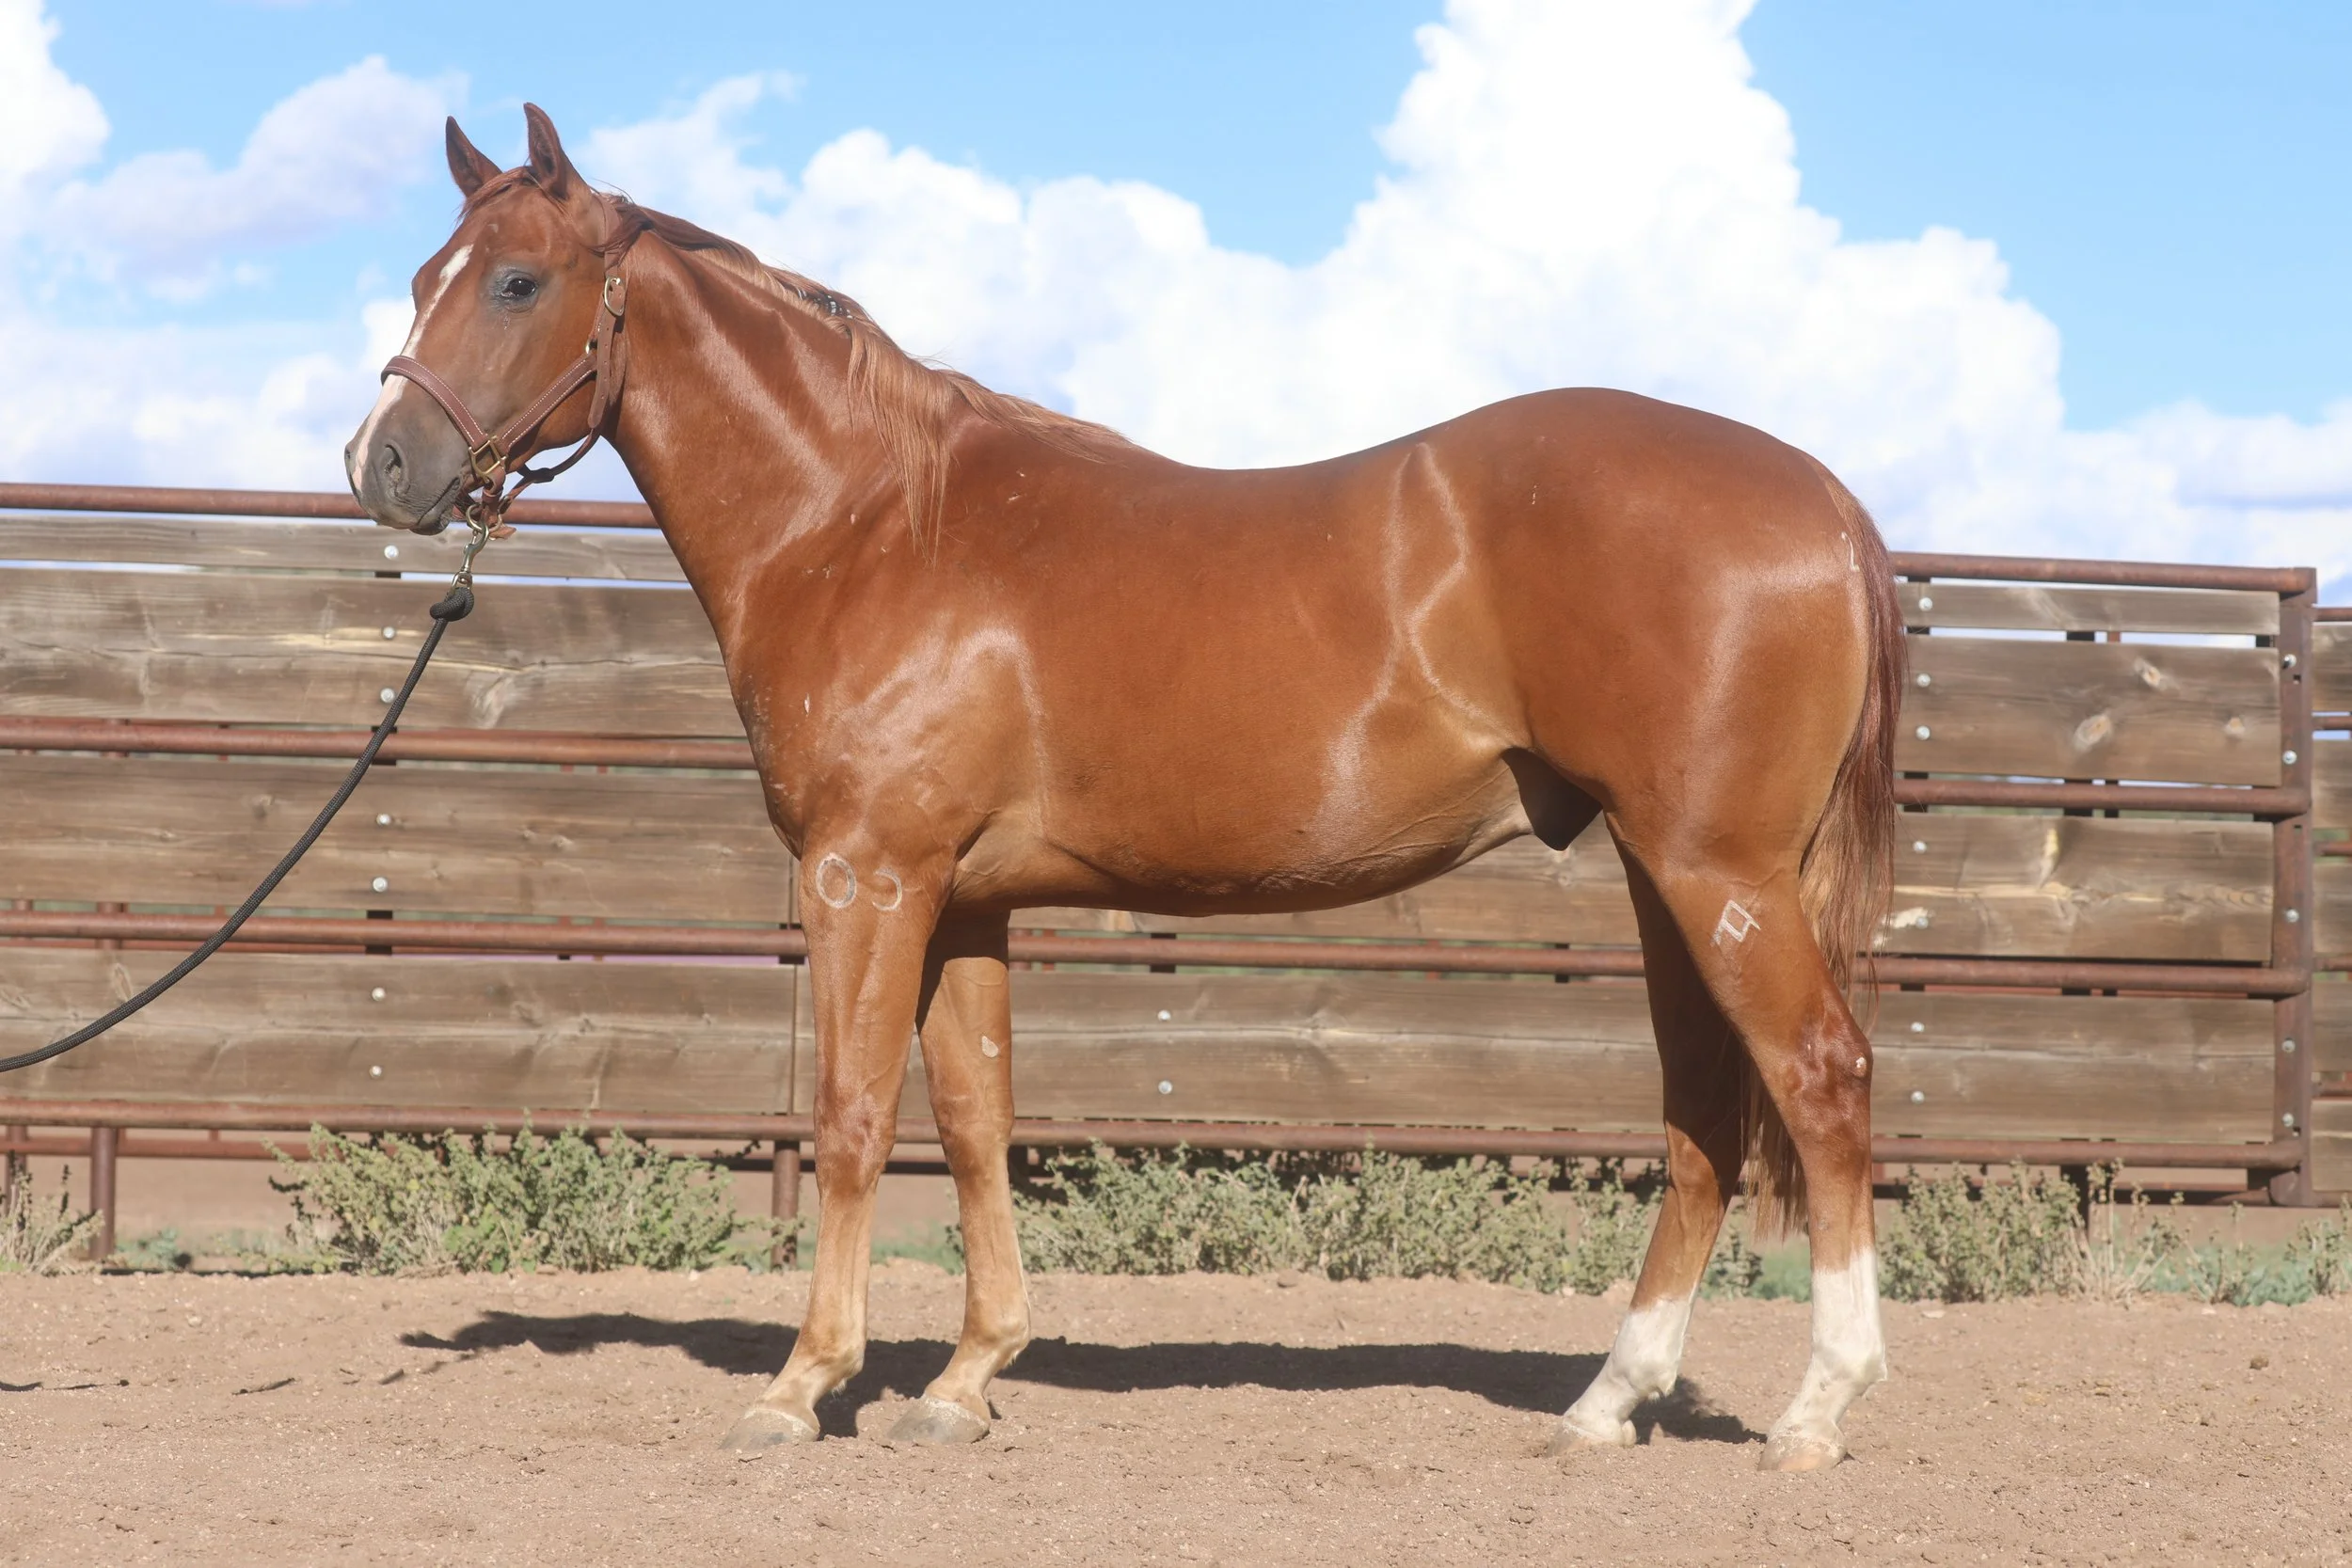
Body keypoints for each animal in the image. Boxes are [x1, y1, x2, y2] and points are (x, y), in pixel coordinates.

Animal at [346, 106, 1904, 1472]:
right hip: (1667, 871)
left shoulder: (868, 873)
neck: (872, 522)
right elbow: (975, 1121)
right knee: (1704, 1112)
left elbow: (853, 1114)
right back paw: (1607, 1402)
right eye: (425, 275)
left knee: (1820, 1080)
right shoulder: (964, 902)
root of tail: (1825, 500)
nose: (384, 465)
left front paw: (803, 1387)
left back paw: (1819, 1408)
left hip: (1718, 872)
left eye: (516, 279)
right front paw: (965, 1382)